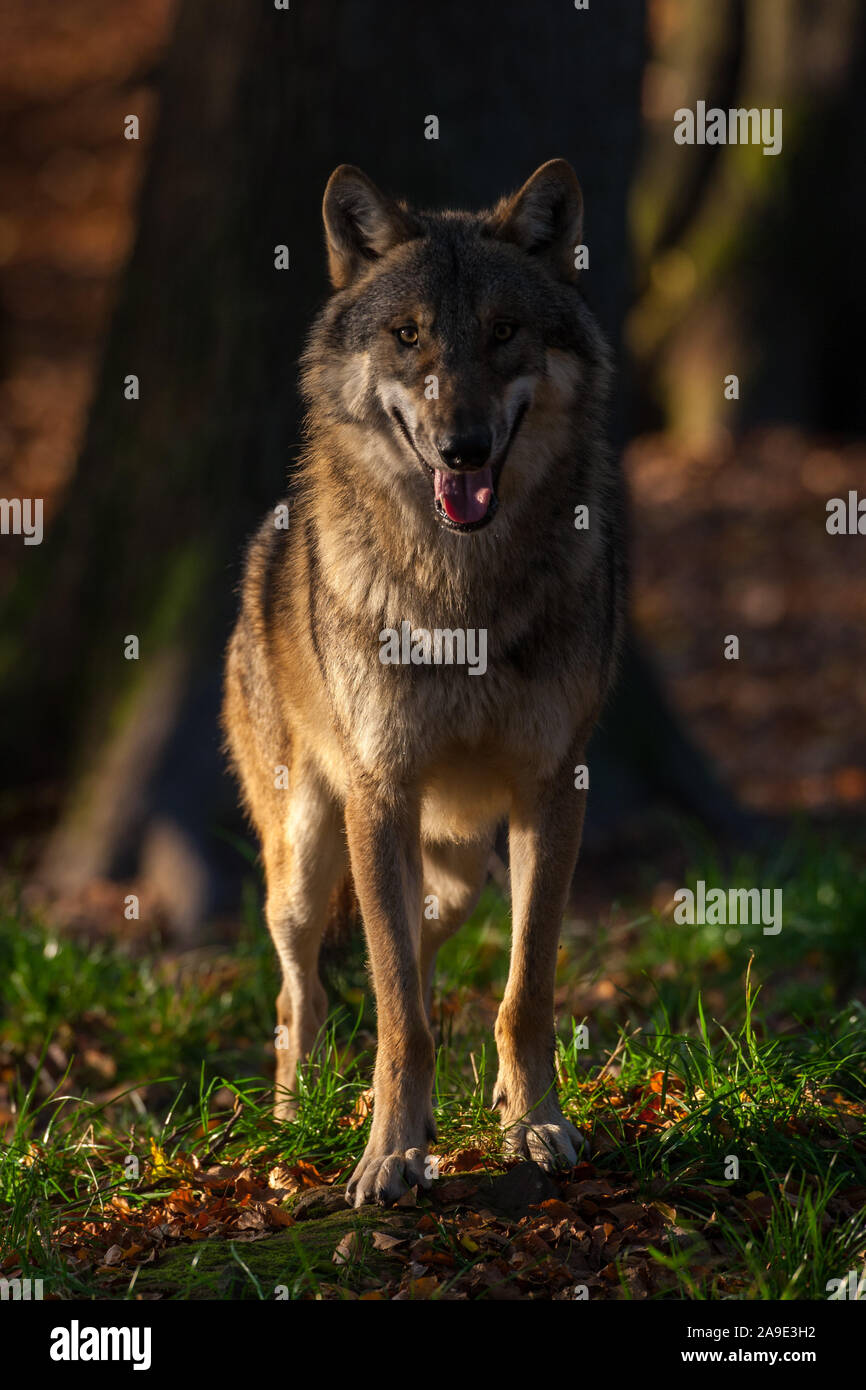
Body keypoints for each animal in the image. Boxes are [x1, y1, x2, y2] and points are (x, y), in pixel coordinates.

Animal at [223, 159, 625, 1207]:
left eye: (504, 330)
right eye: (408, 336)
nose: (464, 448)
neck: (463, 591)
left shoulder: (554, 790)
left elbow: (525, 991)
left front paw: (534, 1123)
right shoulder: (382, 794)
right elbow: (396, 1010)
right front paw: (390, 1154)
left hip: (456, 876)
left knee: (421, 964)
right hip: (309, 856)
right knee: (304, 988)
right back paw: (298, 1115)